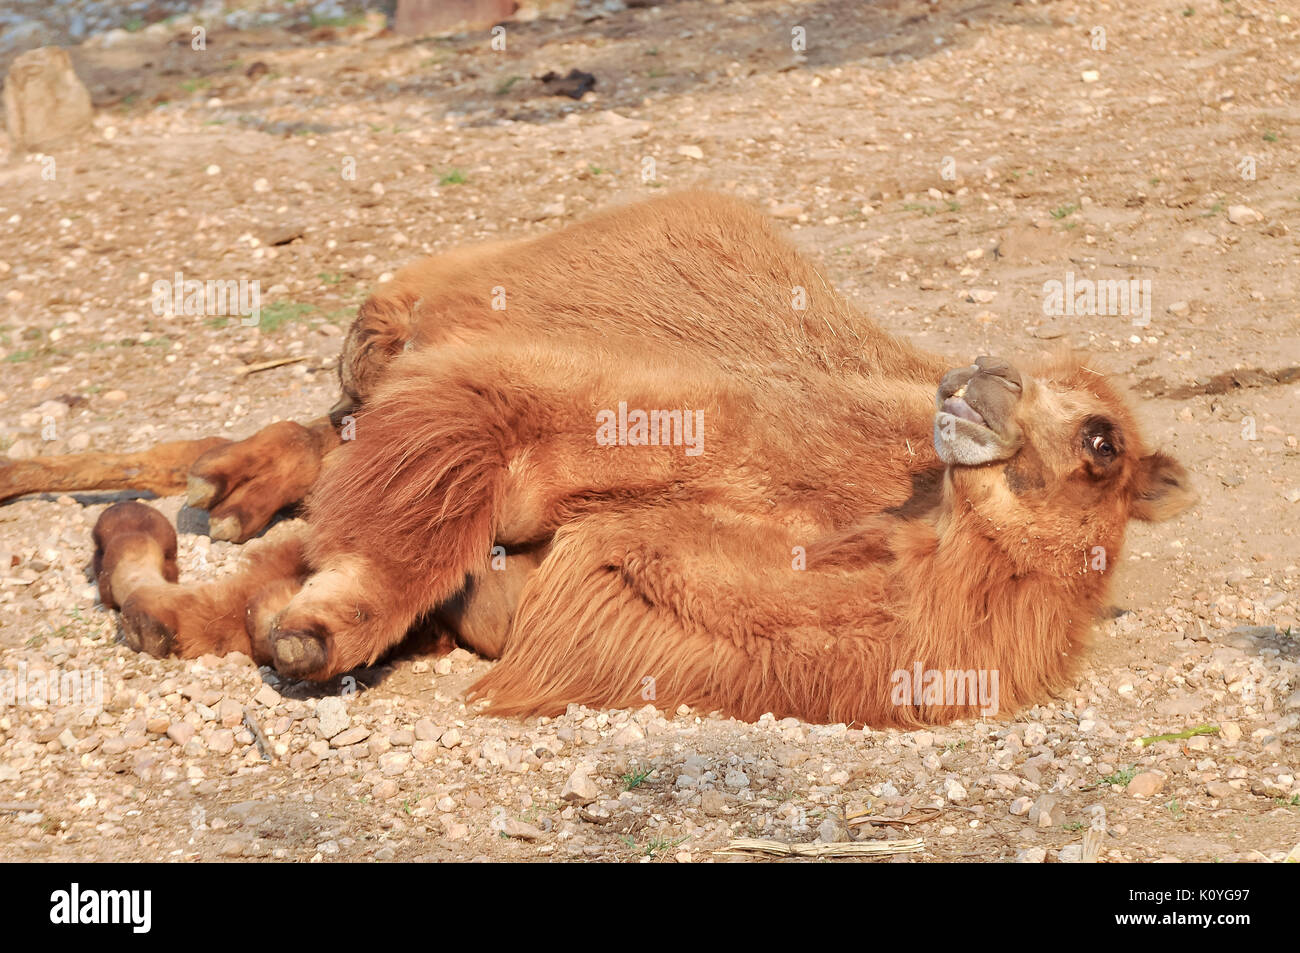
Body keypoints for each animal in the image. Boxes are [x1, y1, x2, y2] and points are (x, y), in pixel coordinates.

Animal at [25, 191, 1196, 726]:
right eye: (1031, 371)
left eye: (1102, 439)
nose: (971, 379)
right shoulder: (573, 402)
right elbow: (412, 516)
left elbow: (251, 606)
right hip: (420, 317)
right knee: (335, 416)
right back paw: (216, 487)